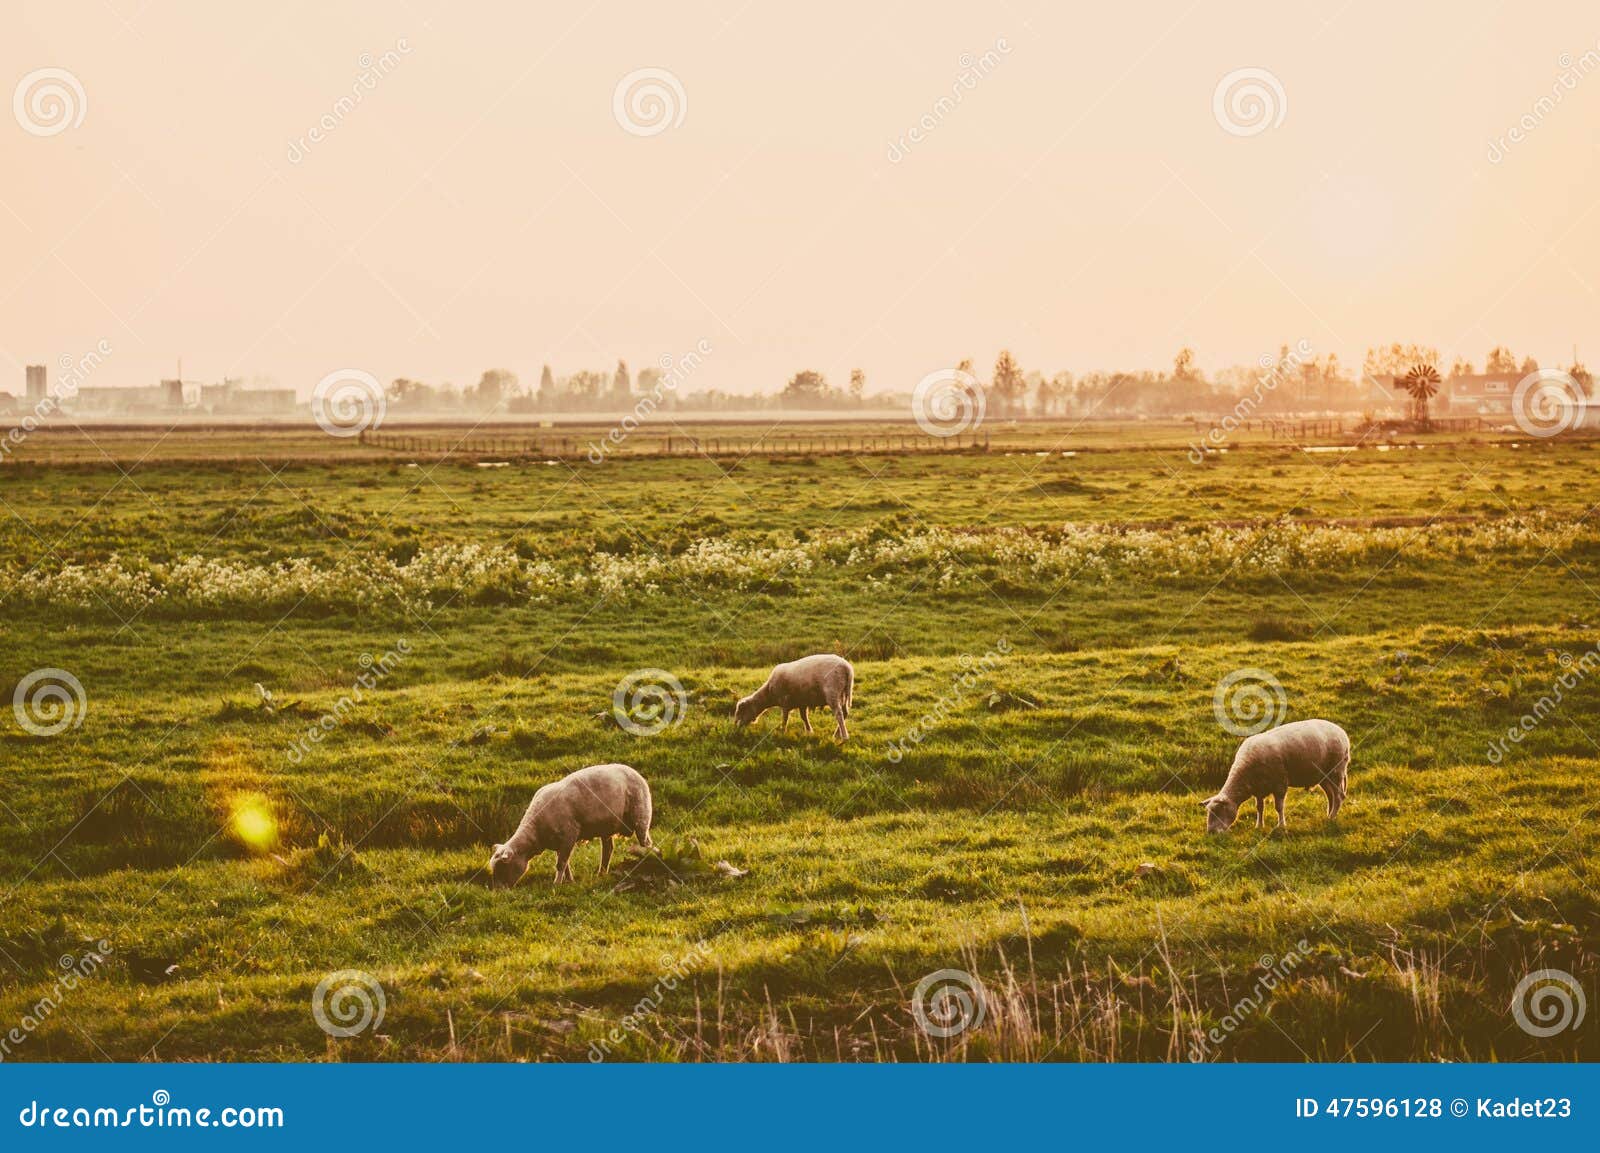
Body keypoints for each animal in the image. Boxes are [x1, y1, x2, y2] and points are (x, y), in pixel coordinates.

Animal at [489, 763, 654, 887]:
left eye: (502, 867)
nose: (499, 891)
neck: (535, 832)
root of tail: (634, 771)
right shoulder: (559, 843)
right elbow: (565, 863)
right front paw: (569, 881)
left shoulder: (569, 834)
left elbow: (561, 863)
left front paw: (556, 884)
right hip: (607, 826)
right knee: (608, 849)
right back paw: (601, 873)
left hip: (641, 815)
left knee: (646, 843)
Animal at [1202, 718, 1349, 834]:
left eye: (1218, 811)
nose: (1211, 832)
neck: (1244, 774)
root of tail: (1342, 733)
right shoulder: (1258, 789)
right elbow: (1259, 808)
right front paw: (1259, 826)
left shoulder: (1280, 784)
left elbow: (1279, 807)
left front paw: (1281, 826)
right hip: (1323, 775)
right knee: (1330, 795)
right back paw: (1328, 815)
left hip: (1336, 770)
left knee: (1338, 796)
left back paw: (1331, 817)